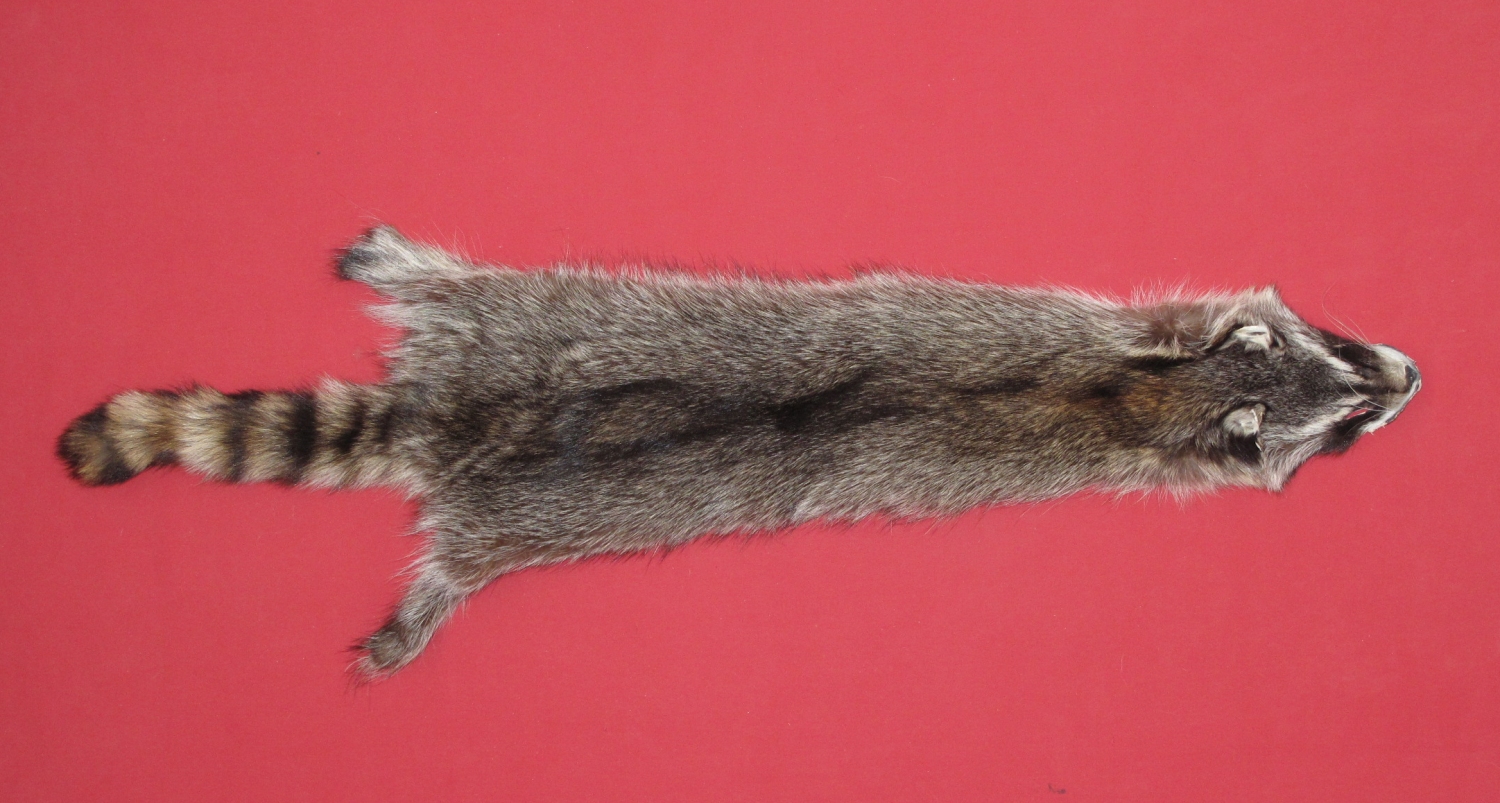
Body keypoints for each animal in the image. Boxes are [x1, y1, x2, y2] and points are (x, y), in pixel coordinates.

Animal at [57, 227, 1421, 677]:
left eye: (1346, 365)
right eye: (1353, 416)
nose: (1413, 376)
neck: (1160, 387)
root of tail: (459, 414)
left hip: (533, 313)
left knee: (474, 292)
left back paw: (414, 273)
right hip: (529, 496)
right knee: (470, 544)